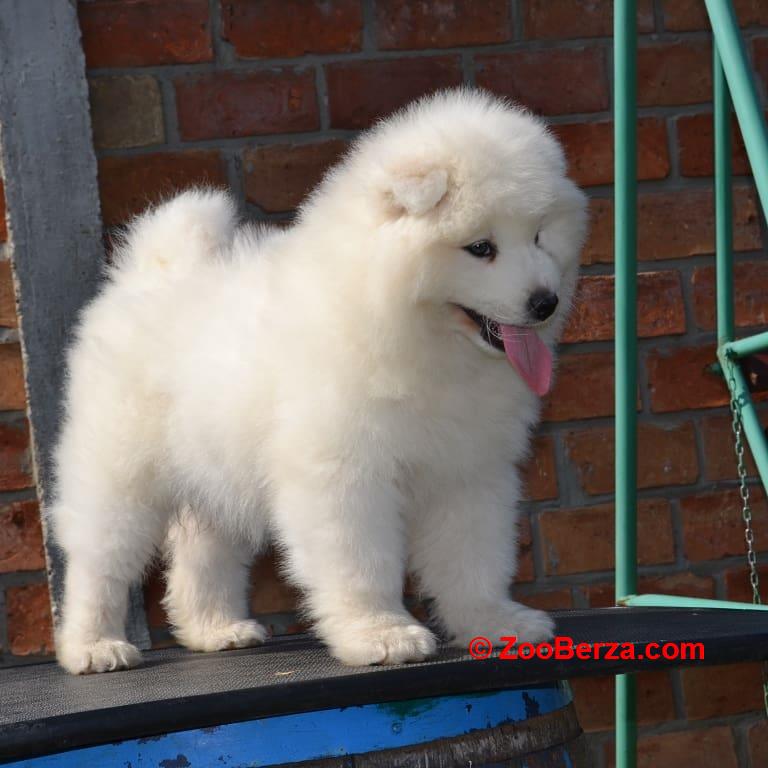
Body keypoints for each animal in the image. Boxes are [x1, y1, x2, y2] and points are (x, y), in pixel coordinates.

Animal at [51, 90, 584, 672]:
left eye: (538, 236)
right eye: (481, 248)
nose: (545, 301)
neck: (412, 333)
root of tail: (149, 271)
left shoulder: (468, 471)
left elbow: (474, 556)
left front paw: (493, 622)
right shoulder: (344, 472)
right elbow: (362, 561)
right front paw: (380, 633)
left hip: (216, 468)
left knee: (203, 551)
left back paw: (215, 630)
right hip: (120, 471)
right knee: (98, 561)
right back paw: (92, 646)